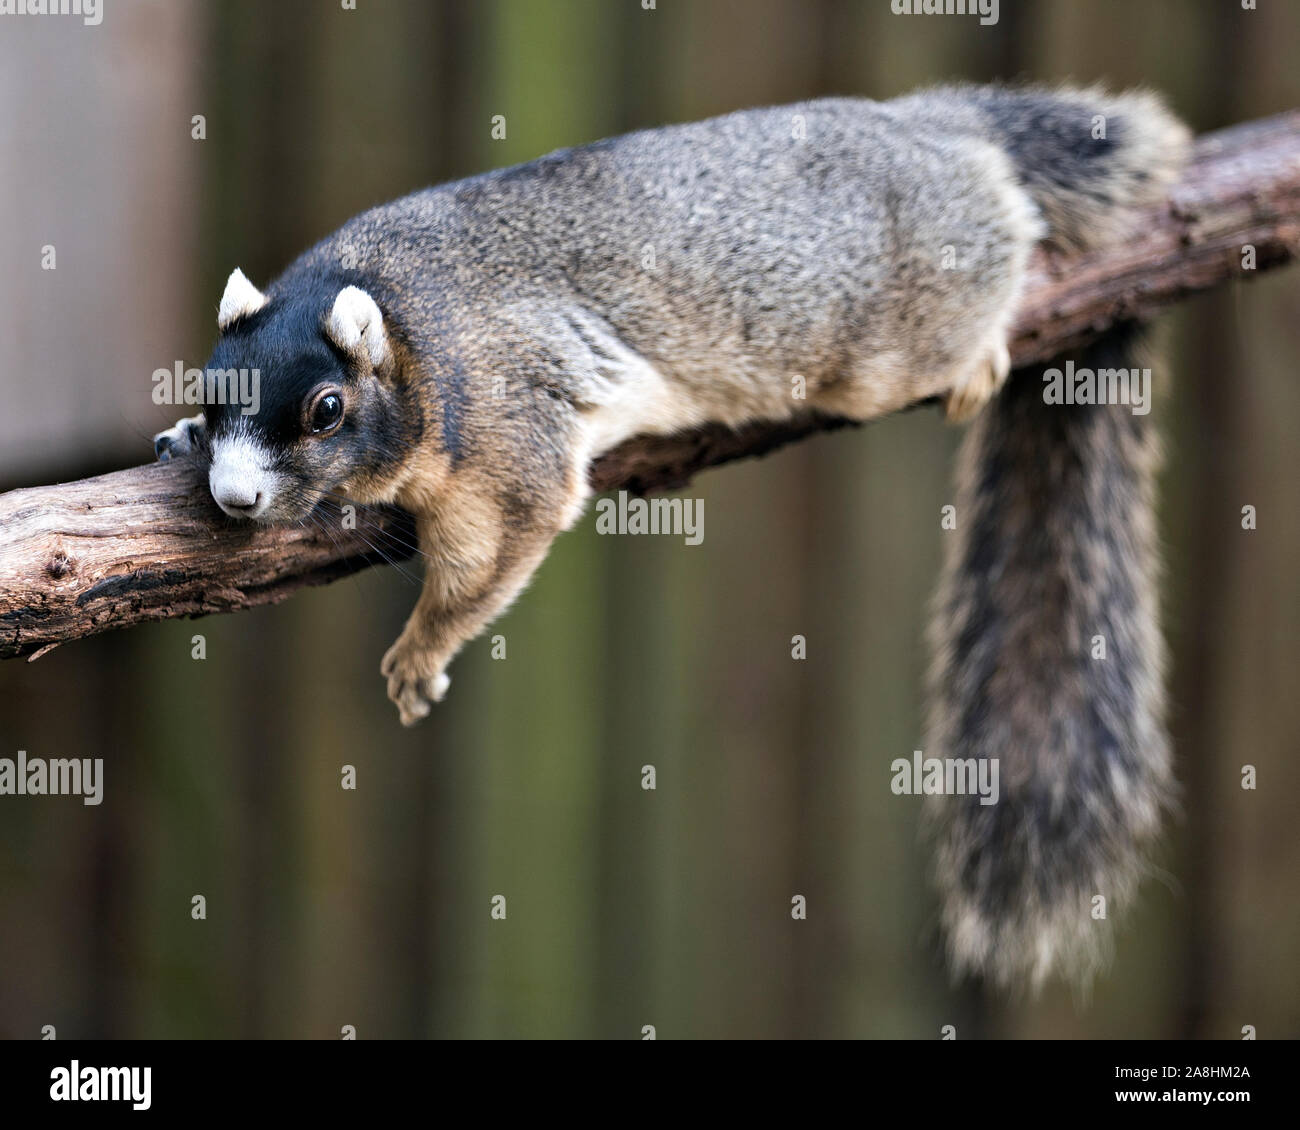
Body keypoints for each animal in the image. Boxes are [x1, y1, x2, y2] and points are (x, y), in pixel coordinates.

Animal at [154, 84, 1190, 989]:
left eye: (327, 410)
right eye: (209, 385)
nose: (236, 497)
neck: (406, 325)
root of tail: (924, 125)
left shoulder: (507, 432)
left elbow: (496, 546)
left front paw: (421, 650)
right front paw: (184, 438)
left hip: (899, 324)